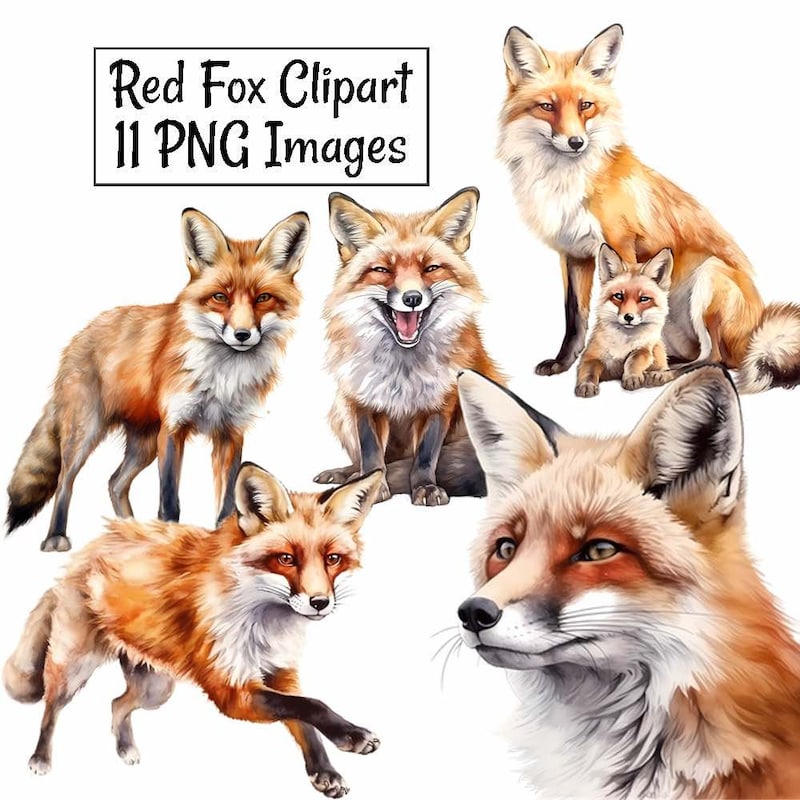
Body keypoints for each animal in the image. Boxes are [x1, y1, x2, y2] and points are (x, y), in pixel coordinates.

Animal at [3, 463, 383, 797]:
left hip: (155, 689)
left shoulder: (280, 673)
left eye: (332, 559)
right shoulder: (232, 690)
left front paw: (324, 772)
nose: (320, 602)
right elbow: (311, 705)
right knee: (51, 710)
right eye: (286, 559)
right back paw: (40, 758)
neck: (263, 624)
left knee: (116, 704)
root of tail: (84, 553)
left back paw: (126, 749)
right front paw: (350, 736)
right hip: (74, 670)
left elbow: (303, 719)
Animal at [6, 207, 309, 551]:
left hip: (144, 444)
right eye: (220, 297)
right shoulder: (174, 429)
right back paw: (56, 536)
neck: (222, 376)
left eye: (263, 298)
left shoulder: (231, 433)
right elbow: (169, 501)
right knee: (64, 481)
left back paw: (131, 534)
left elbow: (227, 503)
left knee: (115, 482)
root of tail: (82, 333)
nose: (242, 335)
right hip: (87, 433)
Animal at [313, 188, 505, 506]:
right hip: (341, 411)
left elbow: (425, 455)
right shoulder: (363, 400)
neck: (402, 371)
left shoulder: (442, 401)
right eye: (382, 270)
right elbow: (370, 453)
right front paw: (372, 486)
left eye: (431, 268)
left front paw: (425, 487)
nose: (412, 298)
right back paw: (347, 473)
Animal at [575, 243, 673, 397]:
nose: (628, 317)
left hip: (657, 349)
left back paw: (657, 375)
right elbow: (589, 371)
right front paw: (587, 385)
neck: (622, 342)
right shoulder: (590, 355)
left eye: (644, 299)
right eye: (619, 296)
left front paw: (632, 377)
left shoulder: (644, 348)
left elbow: (633, 359)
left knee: (668, 371)